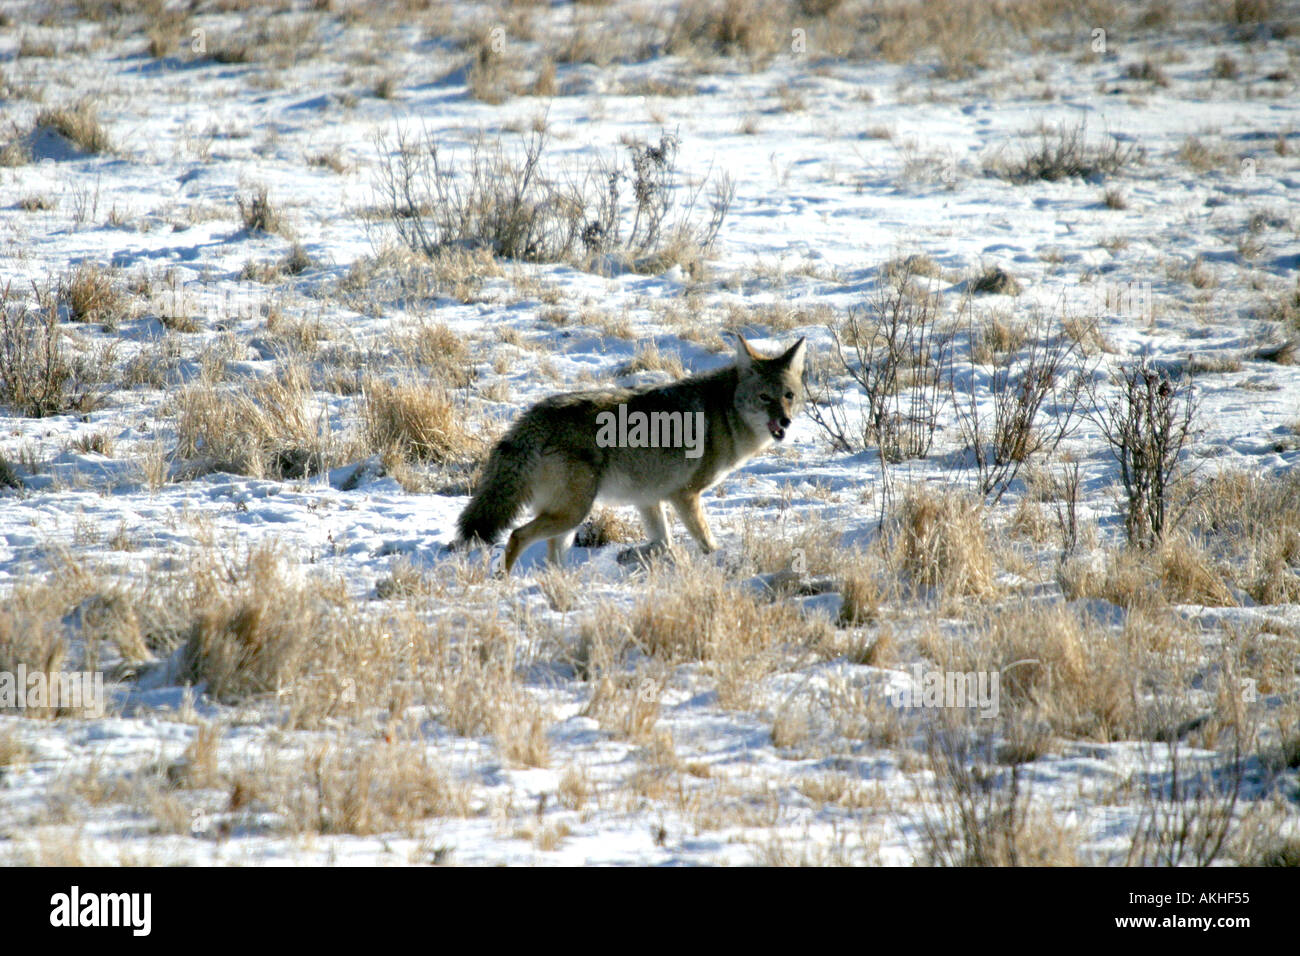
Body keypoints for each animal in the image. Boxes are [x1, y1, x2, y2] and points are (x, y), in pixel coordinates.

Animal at [455, 334, 806, 573]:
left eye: (788, 396)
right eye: (764, 397)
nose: (786, 422)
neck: (724, 413)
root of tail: (533, 416)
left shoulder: (648, 498)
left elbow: (662, 544)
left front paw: (630, 556)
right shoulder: (685, 495)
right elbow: (705, 543)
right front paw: (721, 561)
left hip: (567, 519)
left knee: (549, 555)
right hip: (573, 513)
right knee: (516, 535)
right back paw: (504, 582)